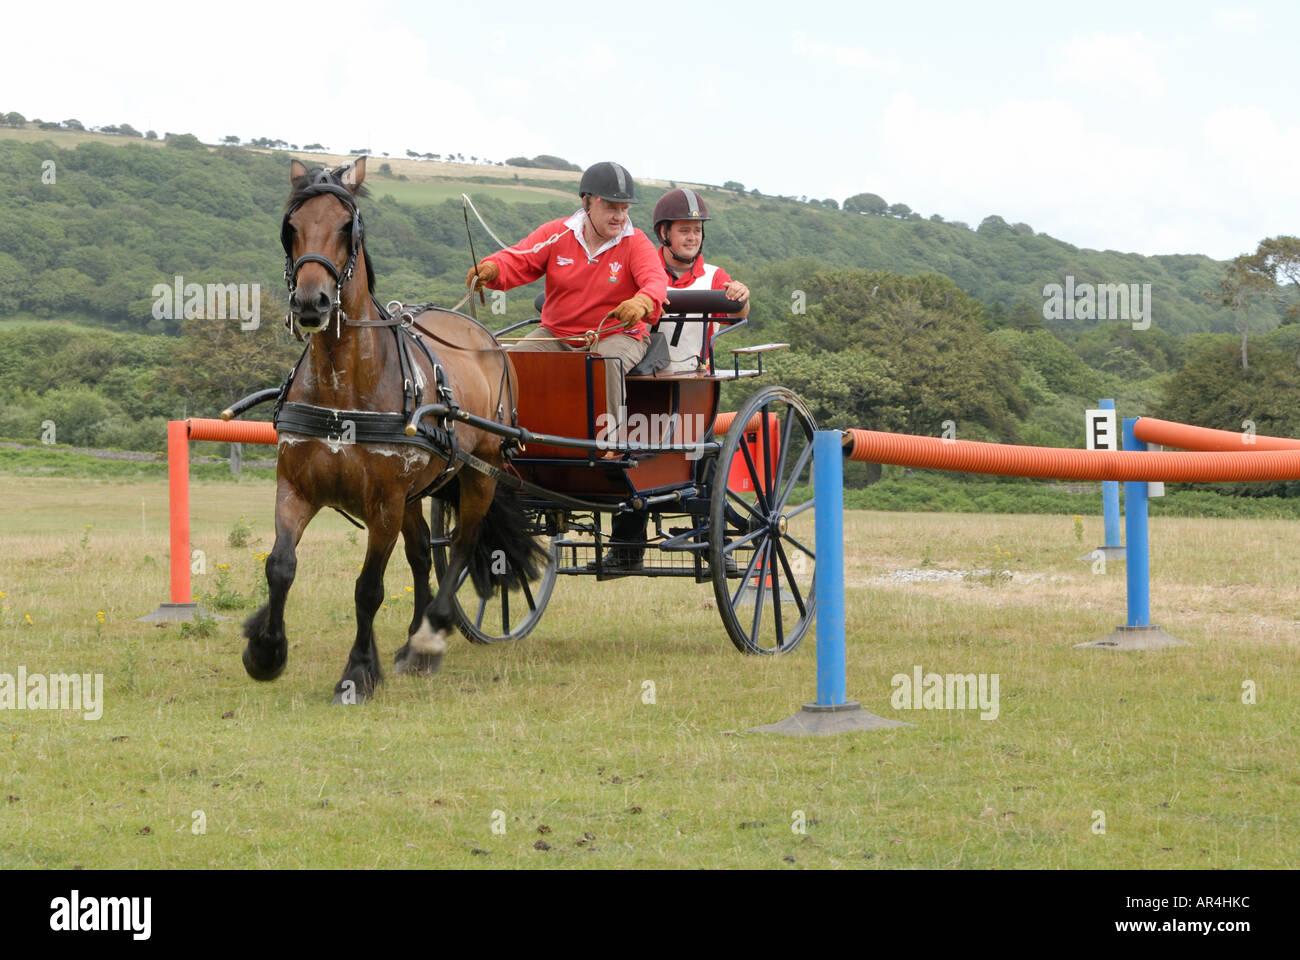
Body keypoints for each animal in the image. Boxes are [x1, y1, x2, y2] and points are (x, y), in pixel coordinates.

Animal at [241, 157, 546, 703]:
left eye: (347, 226)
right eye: (291, 227)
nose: (312, 303)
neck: (344, 384)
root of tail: (484, 336)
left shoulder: (382, 502)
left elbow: (368, 588)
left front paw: (359, 671)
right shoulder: (295, 487)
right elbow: (280, 566)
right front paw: (266, 650)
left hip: (479, 474)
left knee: (462, 546)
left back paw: (429, 638)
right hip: (418, 491)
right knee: (423, 552)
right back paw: (414, 637)